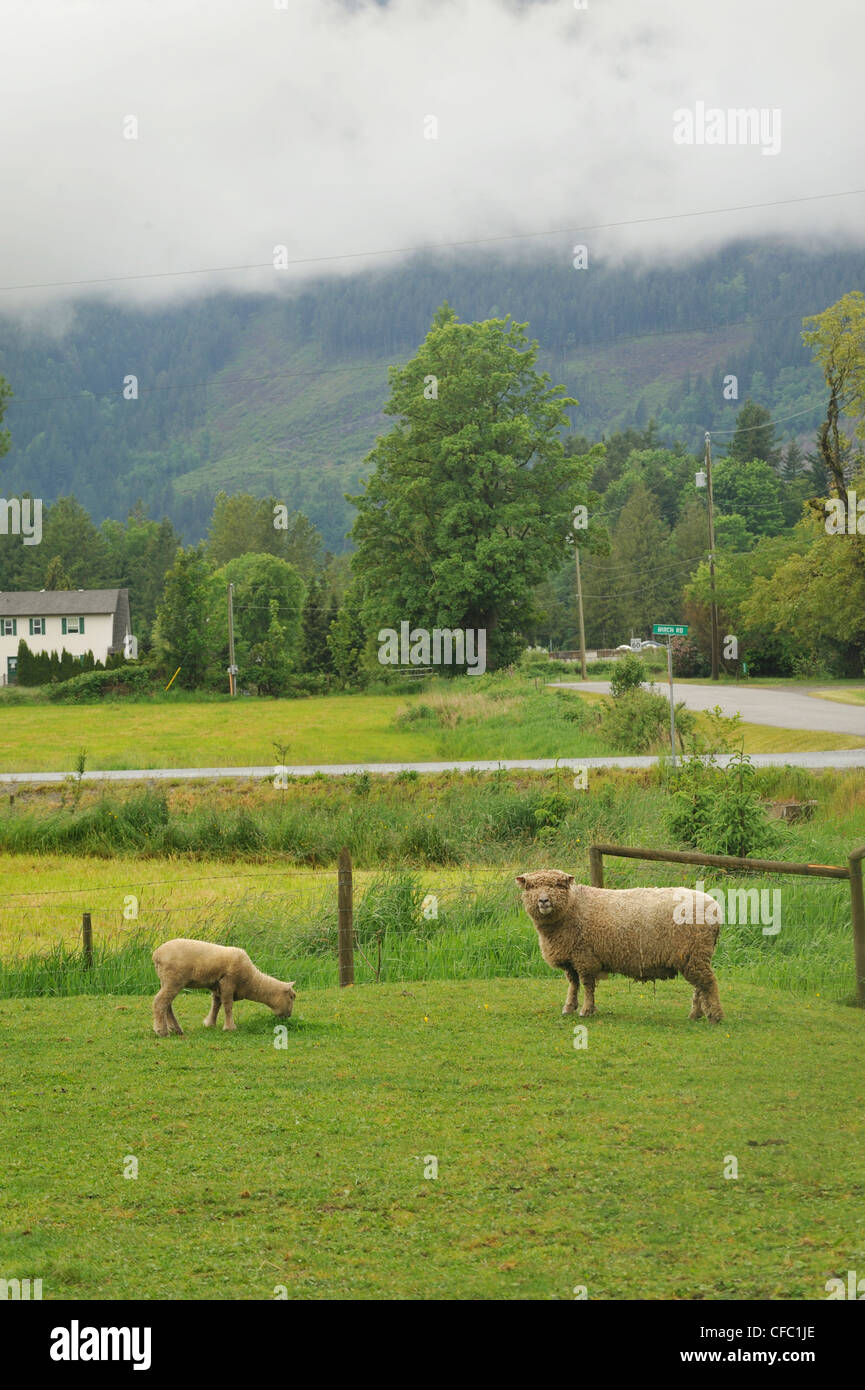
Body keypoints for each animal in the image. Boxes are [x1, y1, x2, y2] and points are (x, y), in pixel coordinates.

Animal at [152, 938, 296, 1037]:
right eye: (292, 997)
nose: (289, 1016)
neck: (251, 981)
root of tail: (157, 954)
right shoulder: (228, 982)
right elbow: (228, 1005)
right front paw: (230, 1027)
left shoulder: (217, 986)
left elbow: (216, 1005)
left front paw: (210, 1024)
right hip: (174, 980)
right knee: (160, 1002)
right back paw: (162, 1031)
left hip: (166, 981)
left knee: (167, 1005)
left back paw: (176, 1029)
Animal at [516, 869, 723, 1022]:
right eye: (531, 886)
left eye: (557, 885)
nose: (543, 901)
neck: (572, 908)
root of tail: (715, 908)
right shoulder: (571, 959)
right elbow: (573, 985)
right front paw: (569, 1007)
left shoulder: (585, 956)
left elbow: (587, 985)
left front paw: (586, 1010)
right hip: (694, 955)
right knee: (700, 985)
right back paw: (696, 1014)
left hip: (695, 951)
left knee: (708, 982)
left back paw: (715, 1016)